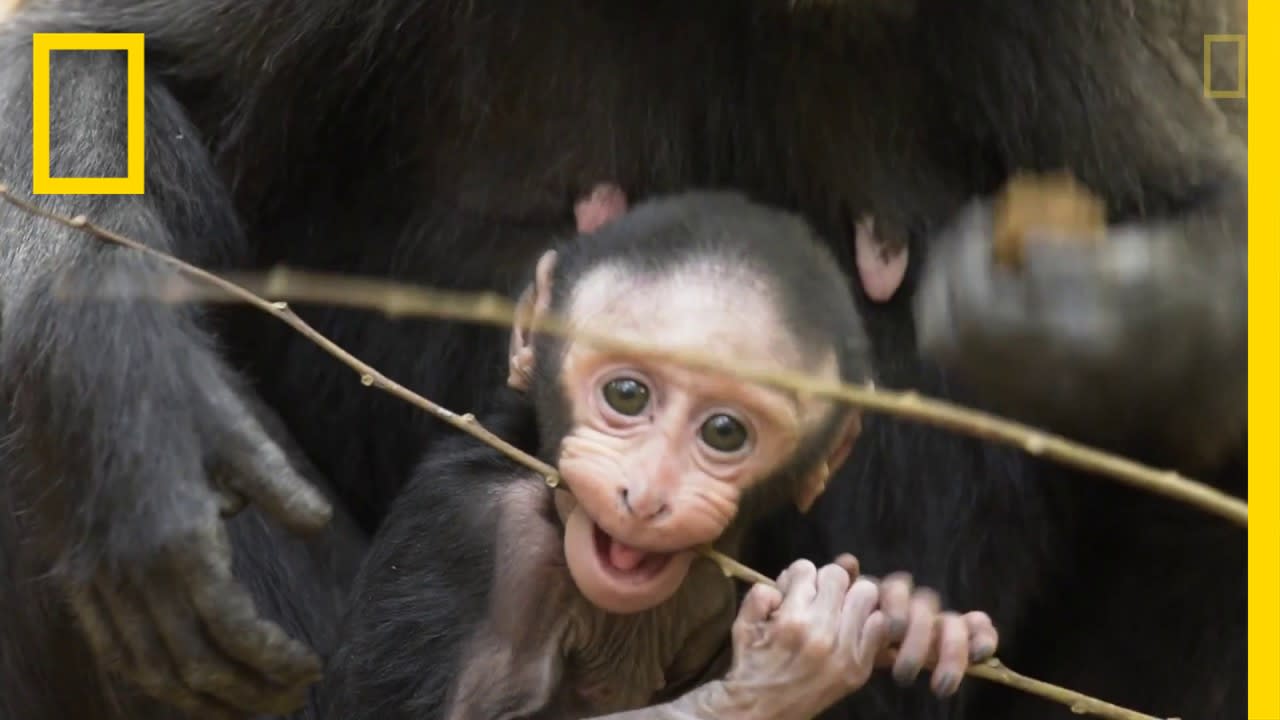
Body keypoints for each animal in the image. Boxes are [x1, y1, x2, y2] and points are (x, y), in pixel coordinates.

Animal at [321, 191, 999, 720]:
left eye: (724, 432)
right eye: (627, 394)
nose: (647, 495)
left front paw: (914, 617)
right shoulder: (479, 534)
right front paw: (778, 671)